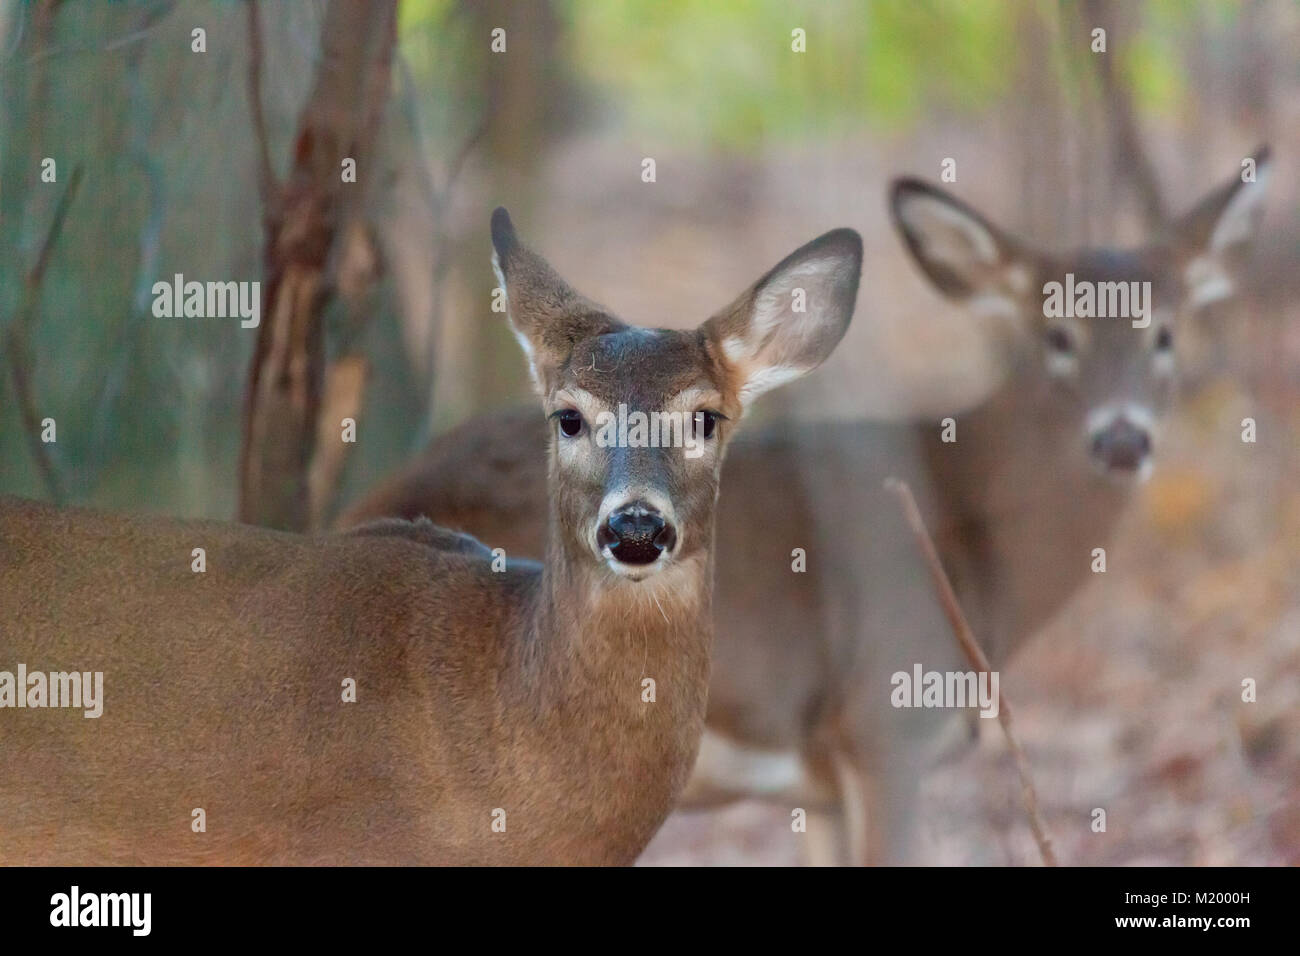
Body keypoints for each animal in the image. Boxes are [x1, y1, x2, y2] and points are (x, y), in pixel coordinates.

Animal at [337, 149, 1271, 864]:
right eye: (1058, 338)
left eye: (1166, 335)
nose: (1121, 440)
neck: (964, 523)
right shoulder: (883, 721)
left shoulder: (819, 786)